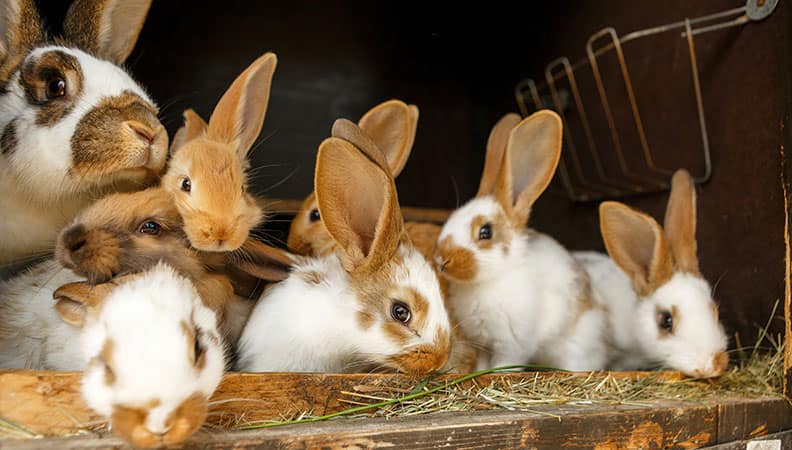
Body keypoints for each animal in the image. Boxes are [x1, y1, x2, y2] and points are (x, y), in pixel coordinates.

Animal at [434, 110, 608, 371]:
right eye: (451, 219)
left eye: (485, 232)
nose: (442, 260)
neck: (489, 280)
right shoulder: (482, 343)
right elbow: (482, 365)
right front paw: (478, 373)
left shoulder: (511, 344)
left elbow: (506, 364)